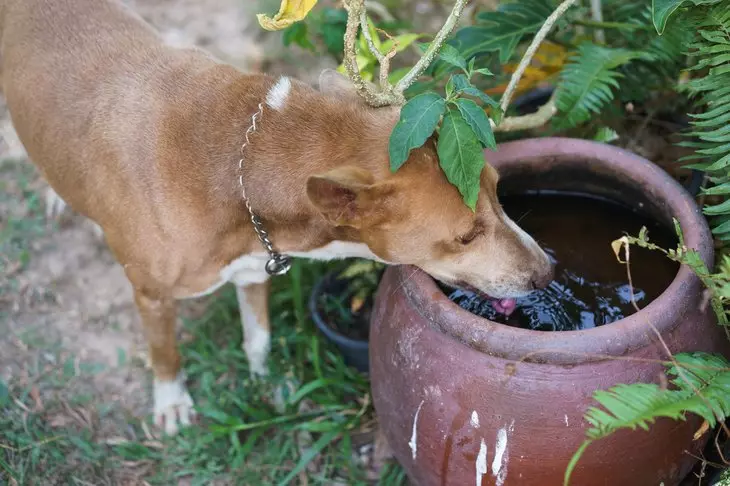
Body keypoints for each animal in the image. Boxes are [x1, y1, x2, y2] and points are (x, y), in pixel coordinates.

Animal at [0, 0, 544, 434]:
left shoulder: (252, 263)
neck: (236, 159)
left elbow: (258, 335)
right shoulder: (151, 294)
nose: (548, 271)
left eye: (498, 191)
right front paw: (172, 401)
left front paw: (271, 382)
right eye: (466, 236)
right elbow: (164, 352)